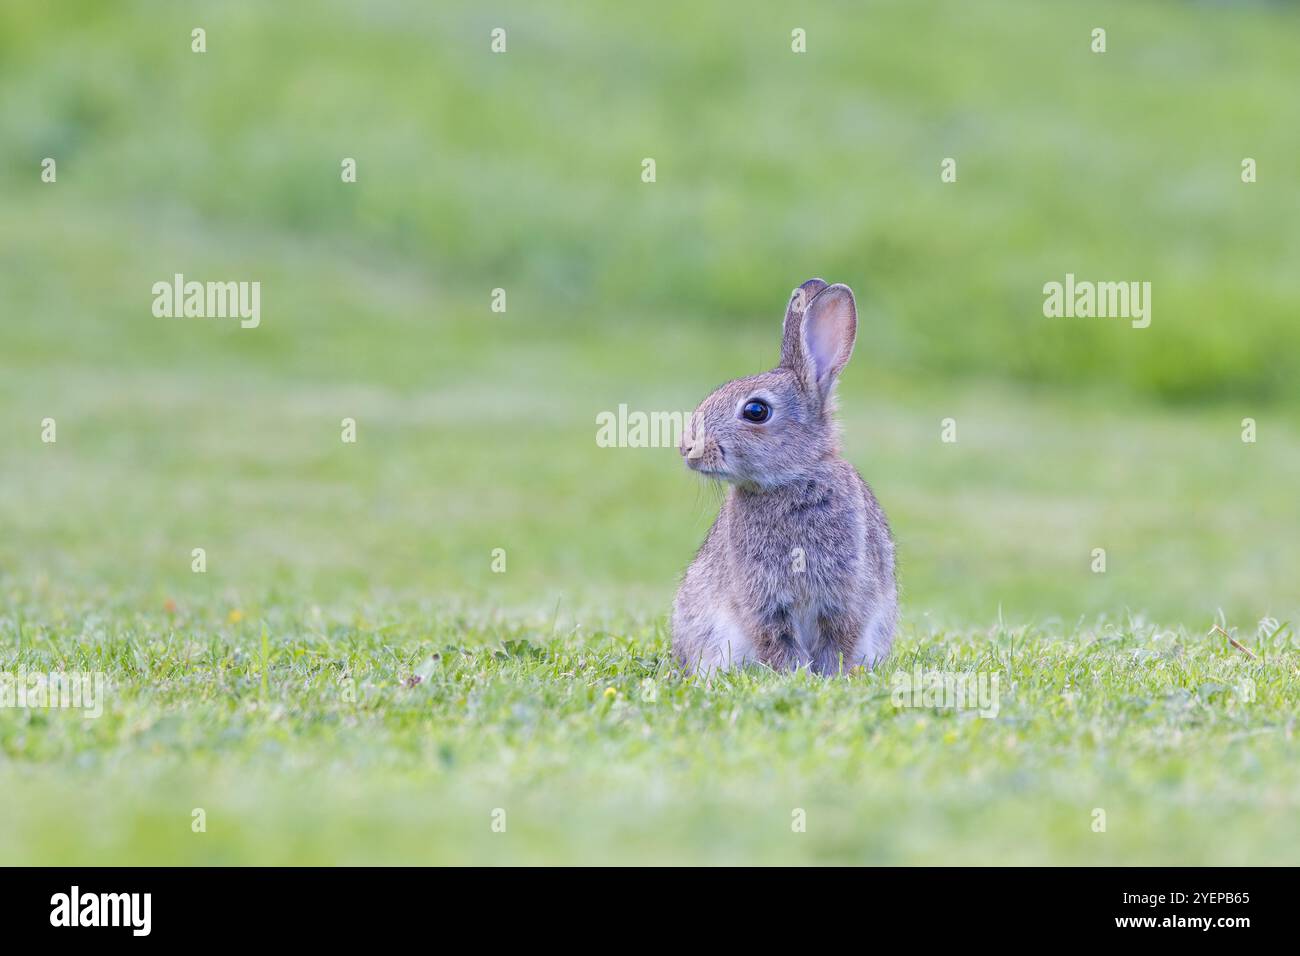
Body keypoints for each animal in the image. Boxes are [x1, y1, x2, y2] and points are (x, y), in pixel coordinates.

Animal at [672, 278, 897, 675]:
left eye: (756, 411)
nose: (687, 448)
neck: (793, 480)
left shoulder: (846, 595)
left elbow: (837, 640)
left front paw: (827, 676)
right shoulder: (764, 601)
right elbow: (778, 640)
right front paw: (794, 675)